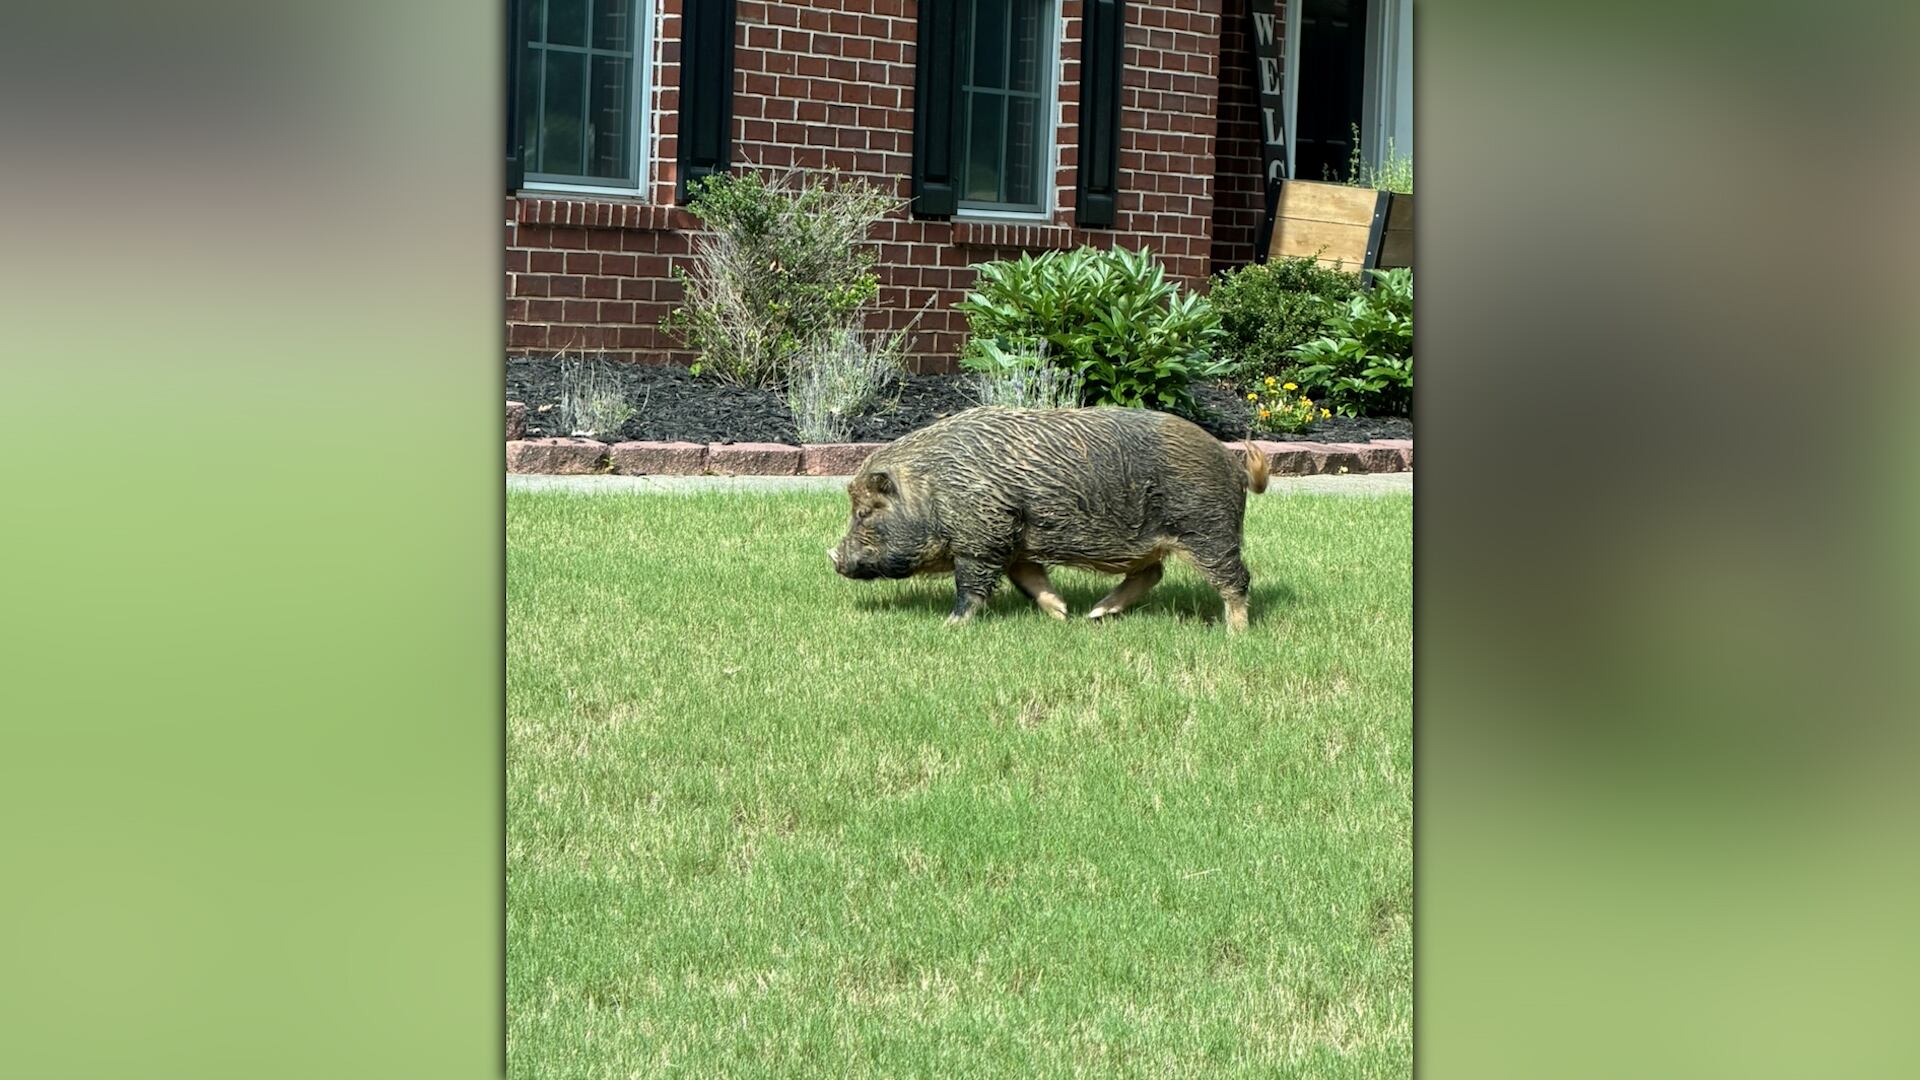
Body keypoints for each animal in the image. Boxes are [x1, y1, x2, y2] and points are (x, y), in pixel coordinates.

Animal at [827, 405, 1271, 631]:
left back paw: (1234, 634)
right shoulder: (1014, 543)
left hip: (1208, 531)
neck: (934, 489)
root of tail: (1232, 464)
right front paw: (1061, 614)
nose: (833, 557)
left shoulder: (983, 538)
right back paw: (1095, 614)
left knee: (1236, 581)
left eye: (864, 513)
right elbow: (1029, 580)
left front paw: (949, 626)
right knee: (1152, 573)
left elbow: (971, 586)